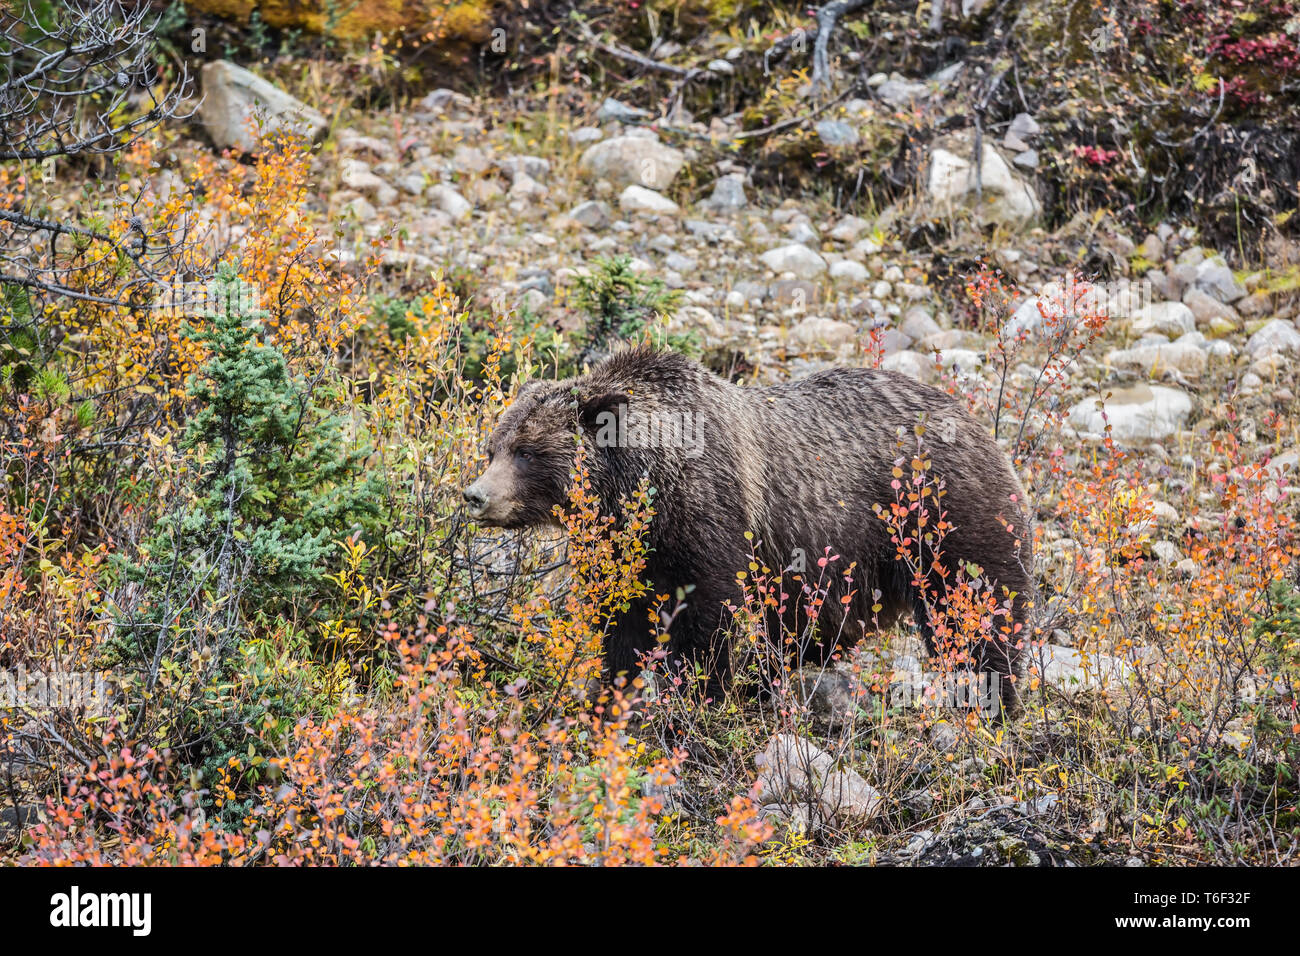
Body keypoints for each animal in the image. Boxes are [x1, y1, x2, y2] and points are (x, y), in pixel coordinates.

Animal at [463, 346, 1033, 715]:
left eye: (527, 452)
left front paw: (699, 699)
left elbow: (707, 621)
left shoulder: (713, 522)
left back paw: (990, 701)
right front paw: (614, 697)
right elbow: (620, 622)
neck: (649, 490)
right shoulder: (624, 550)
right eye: (493, 447)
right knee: (817, 628)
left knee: (976, 609)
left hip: (943, 518)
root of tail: (972, 418)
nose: (475, 496)